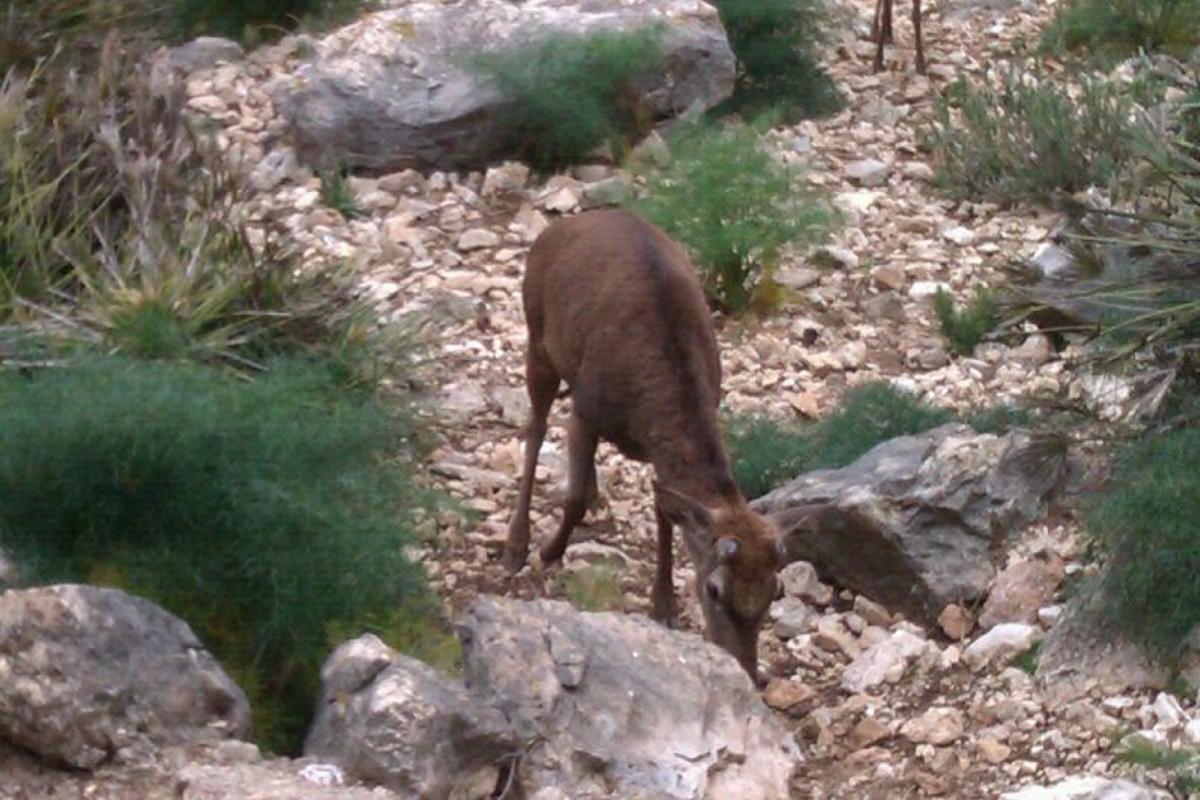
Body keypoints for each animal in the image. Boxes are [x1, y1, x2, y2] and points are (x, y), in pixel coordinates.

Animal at [503, 208, 787, 683]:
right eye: (714, 589)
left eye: (774, 592)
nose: (747, 668)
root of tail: (559, 226)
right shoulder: (587, 407)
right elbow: (571, 498)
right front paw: (549, 551)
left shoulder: (660, 450)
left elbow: (664, 510)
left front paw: (664, 604)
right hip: (537, 336)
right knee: (536, 428)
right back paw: (515, 544)